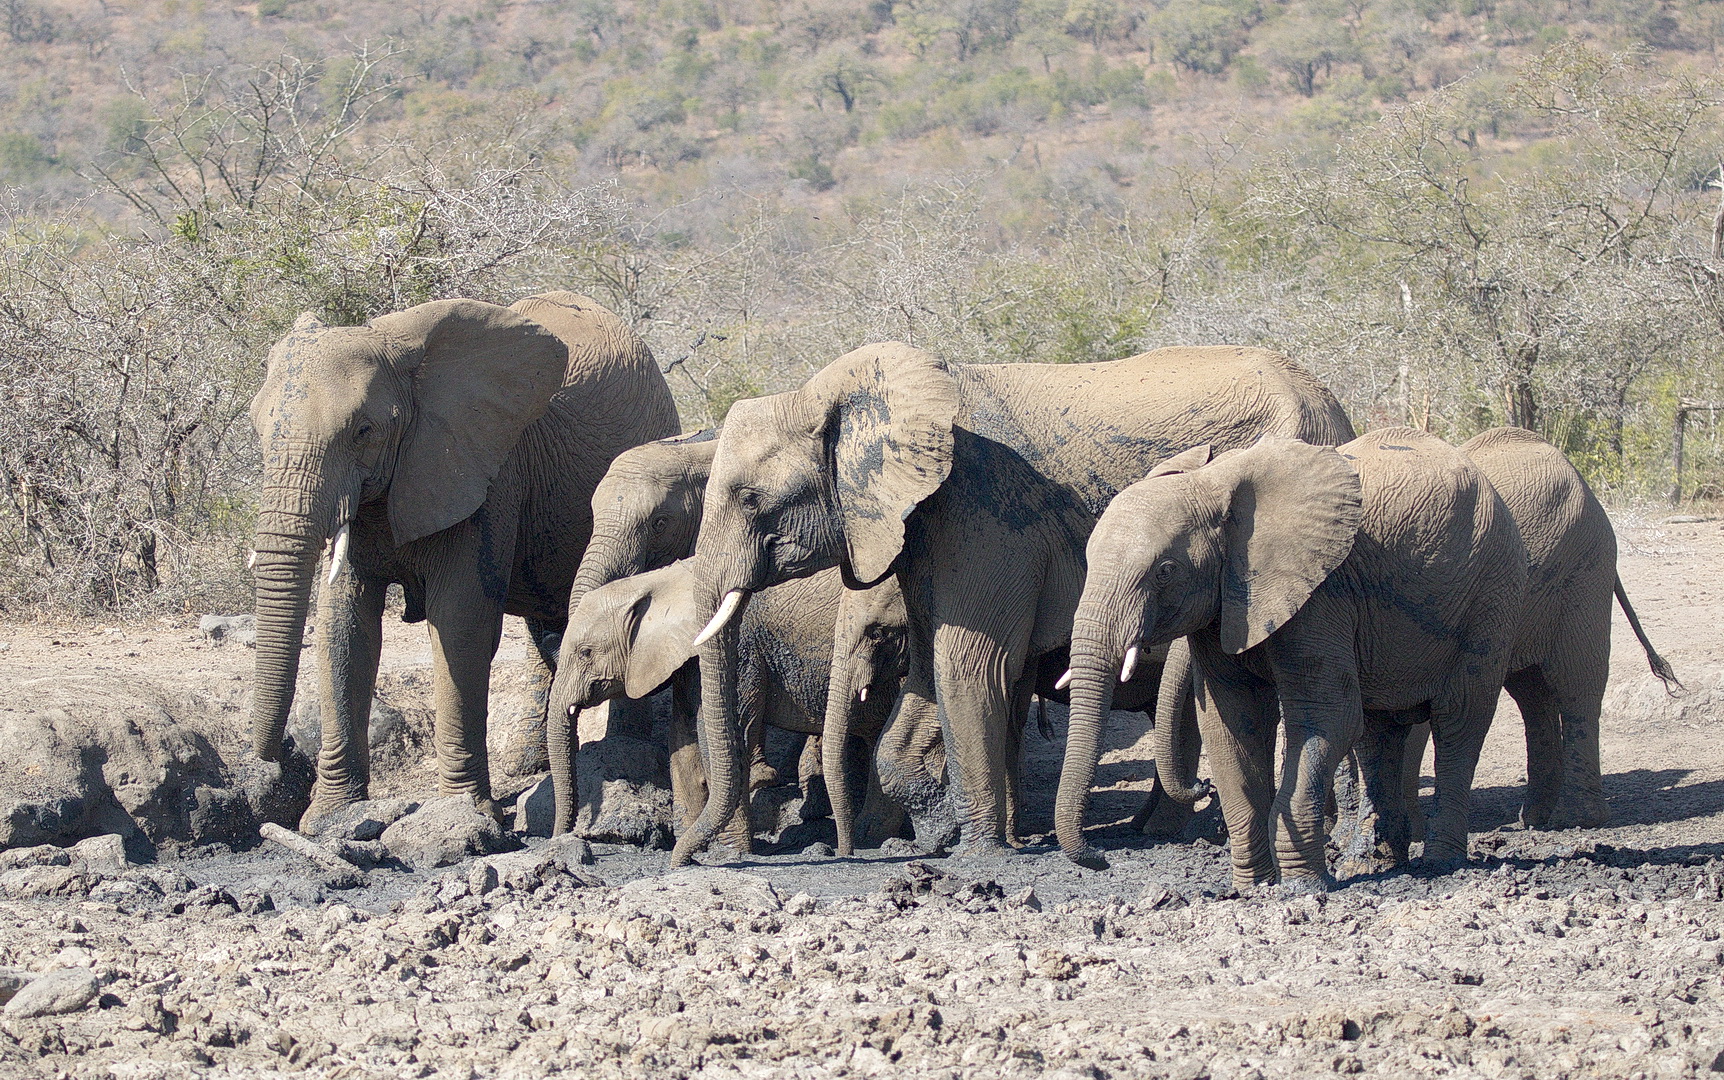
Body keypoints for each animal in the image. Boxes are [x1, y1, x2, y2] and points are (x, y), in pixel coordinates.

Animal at [248, 291, 679, 826]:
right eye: (257, 428)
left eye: (364, 431)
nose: (269, 760)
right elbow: (343, 627)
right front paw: (330, 817)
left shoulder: (487, 469)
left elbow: (459, 624)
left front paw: (466, 814)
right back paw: (533, 762)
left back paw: (623, 750)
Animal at [551, 559, 910, 849]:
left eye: (585, 652)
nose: (563, 837)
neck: (660, 582)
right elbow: (682, 740)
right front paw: (694, 847)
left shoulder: (739, 649)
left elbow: (724, 735)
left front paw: (728, 854)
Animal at [678, 342, 1355, 866]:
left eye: (750, 498)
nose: (688, 858)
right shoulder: (931, 527)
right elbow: (928, 674)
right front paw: (938, 836)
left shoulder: (983, 511)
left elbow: (966, 665)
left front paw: (976, 851)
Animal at [1055, 431, 1529, 891]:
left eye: (1165, 571)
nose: (1101, 859)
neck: (1214, 483)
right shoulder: (1229, 603)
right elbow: (1232, 722)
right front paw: (1253, 888)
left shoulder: (1322, 593)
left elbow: (1328, 718)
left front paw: (1301, 887)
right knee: (1379, 733)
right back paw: (1371, 863)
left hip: (1491, 596)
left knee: (1459, 722)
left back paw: (1439, 865)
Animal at [1361, 428, 1679, 841]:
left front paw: (1409, 833)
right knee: (1532, 691)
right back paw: (1538, 818)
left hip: (1584, 567)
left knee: (1575, 680)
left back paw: (1574, 820)